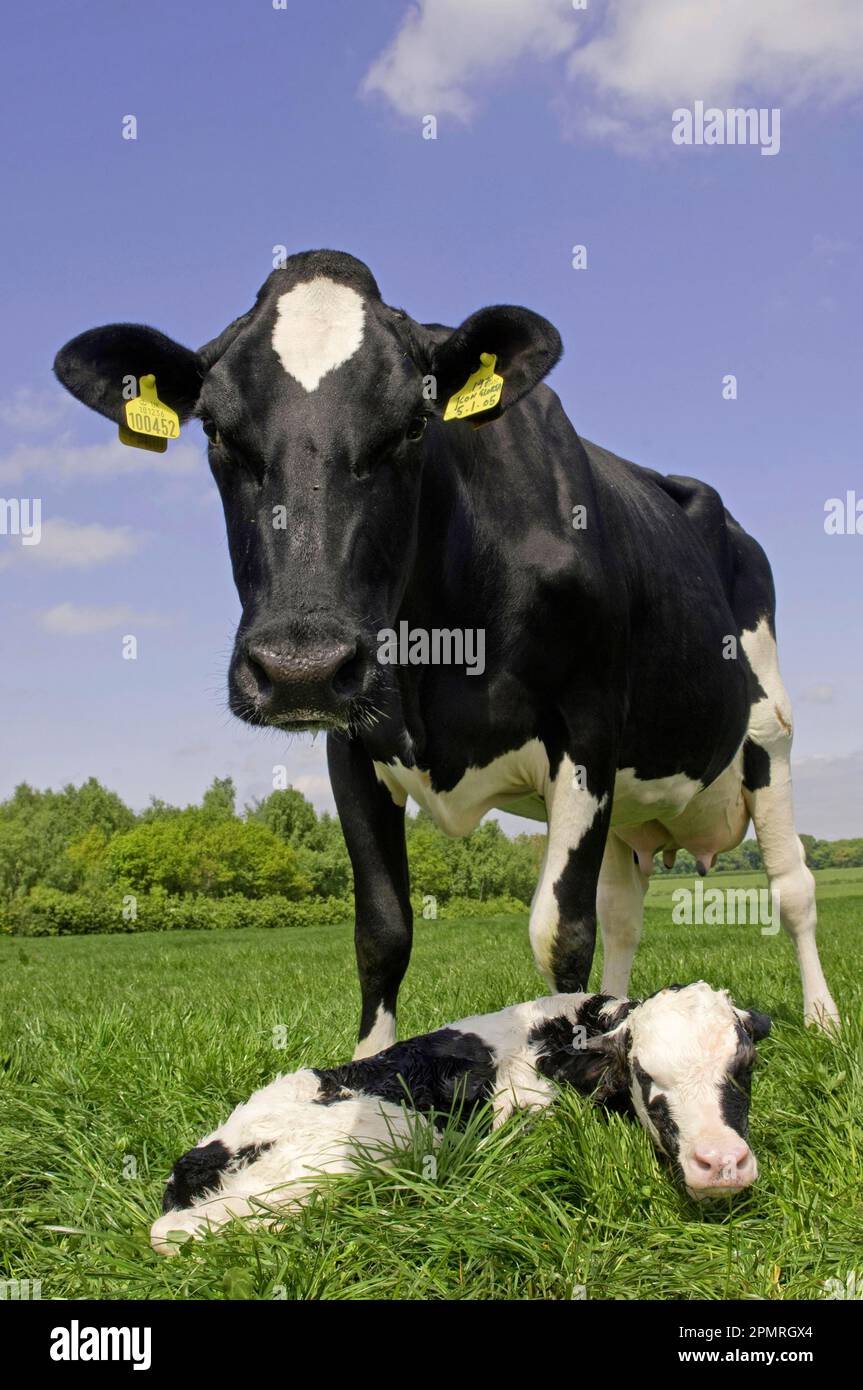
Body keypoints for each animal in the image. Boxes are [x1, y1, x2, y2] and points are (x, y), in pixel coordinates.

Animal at [54, 249, 839, 1058]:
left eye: (413, 424)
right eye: (212, 428)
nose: (300, 667)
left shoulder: (588, 726)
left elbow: (560, 931)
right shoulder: (351, 743)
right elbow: (381, 931)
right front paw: (368, 1067)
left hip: (769, 733)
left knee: (792, 887)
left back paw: (823, 1018)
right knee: (625, 910)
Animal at [149, 981, 772, 1253]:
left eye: (745, 1064)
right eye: (645, 1076)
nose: (721, 1161)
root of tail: (192, 1164)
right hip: (360, 1151)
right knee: (172, 1234)